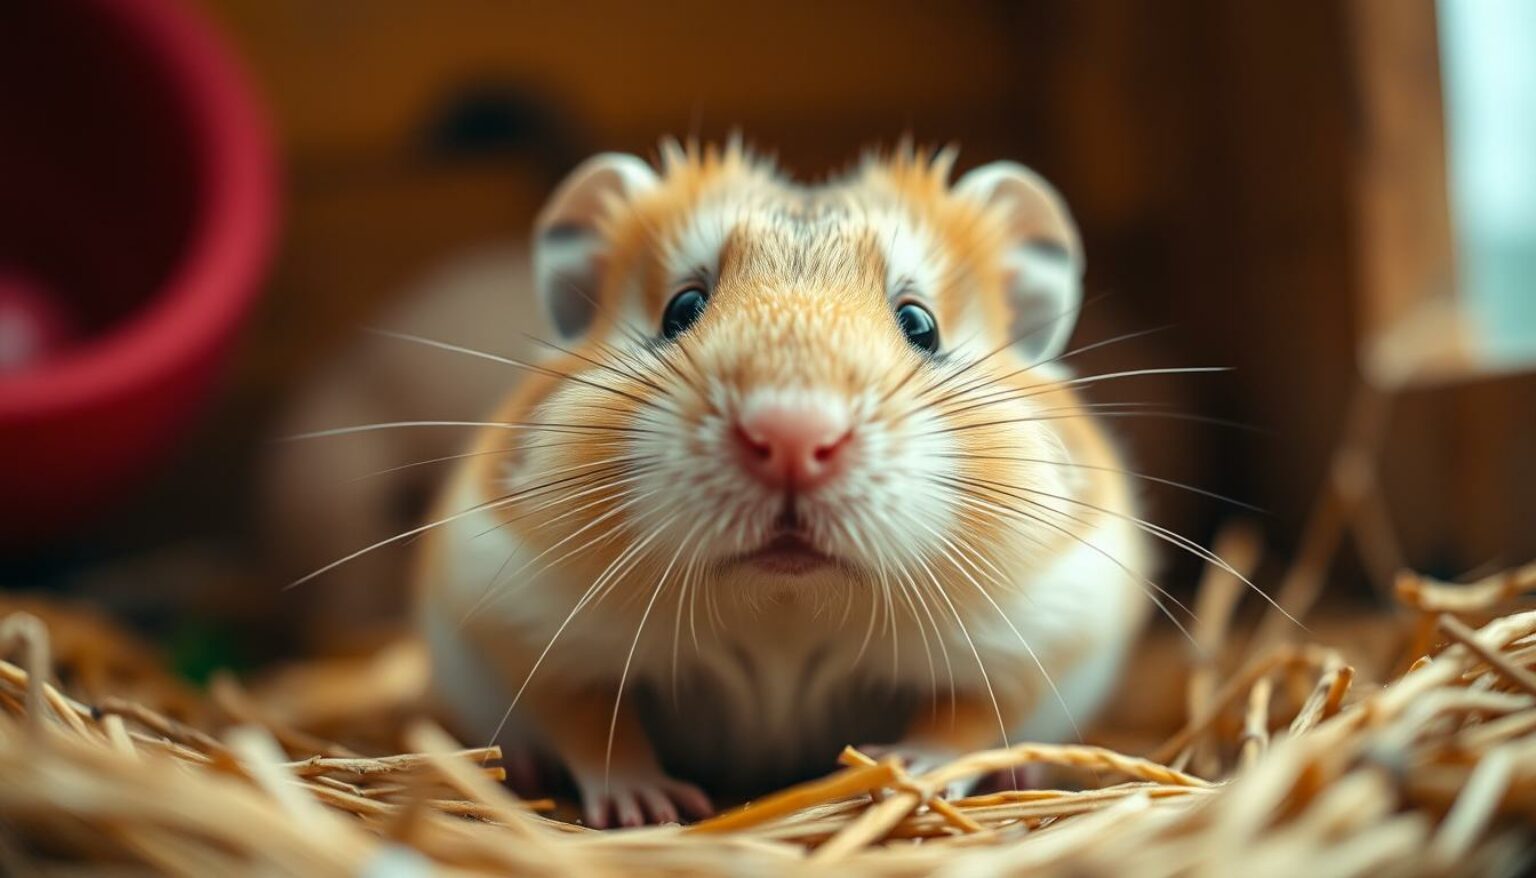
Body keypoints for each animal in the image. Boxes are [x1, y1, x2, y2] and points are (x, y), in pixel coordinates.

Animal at [414, 142, 1153, 827]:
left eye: (921, 325)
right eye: (681, 309)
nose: (793, 437)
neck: (783, 618)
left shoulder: (1036, 636)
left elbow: (962, 722)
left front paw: (902, 769)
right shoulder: (528, 629)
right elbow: (596, 727)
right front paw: (653, 809)